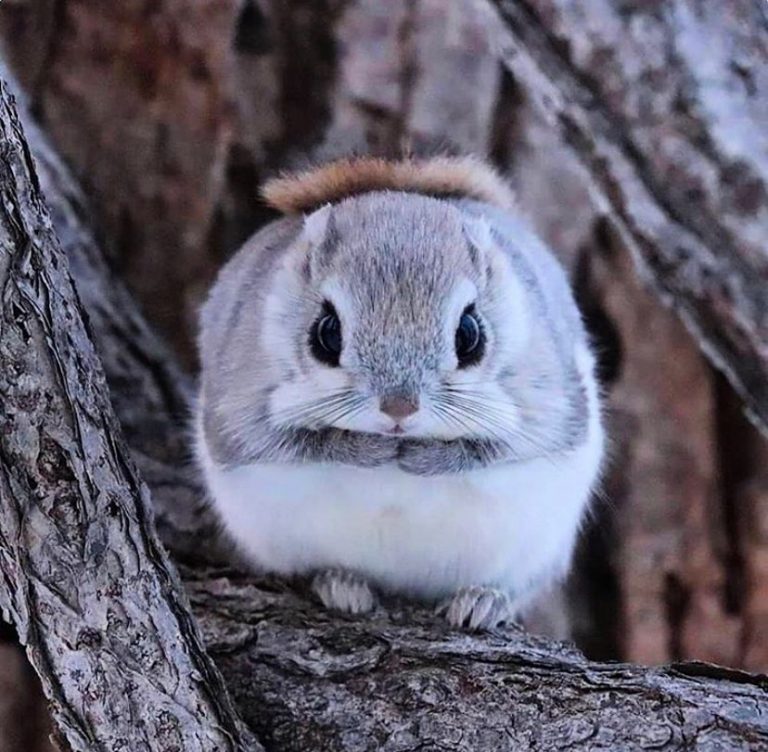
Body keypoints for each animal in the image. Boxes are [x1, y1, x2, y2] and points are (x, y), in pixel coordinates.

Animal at [195, 155, 605, 630]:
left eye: (470, 334)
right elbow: (294, 442)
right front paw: (366, 449)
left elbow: (498, 449)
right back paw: (340, 584)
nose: (399, 408)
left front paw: (424, 457)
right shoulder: (242, 406)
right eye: (326, 334)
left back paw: (484, 601)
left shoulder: (545, 404)